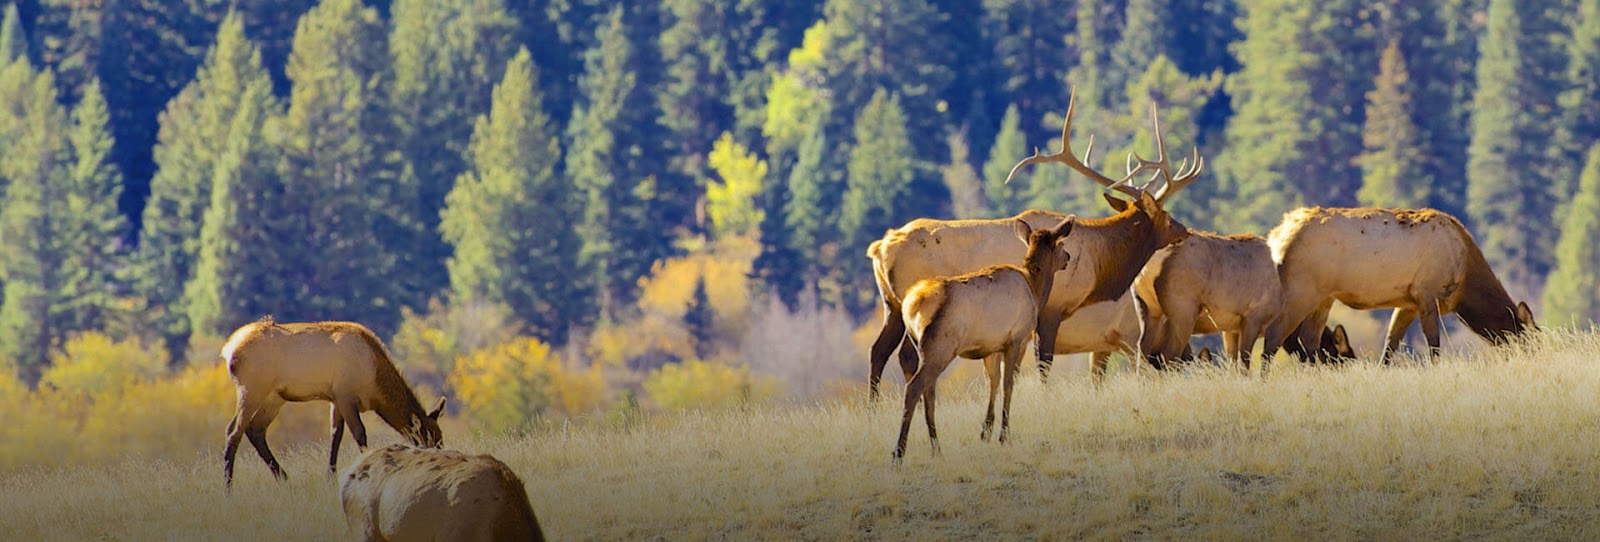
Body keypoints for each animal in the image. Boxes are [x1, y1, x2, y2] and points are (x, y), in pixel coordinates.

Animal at [221, 317, 446, 489]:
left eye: (440, 438)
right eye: (428, 438)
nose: (439, 464)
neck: (374, 380)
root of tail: (228, 349)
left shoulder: (336, 400)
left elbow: (335, 436)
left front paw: (330, 478)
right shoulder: (345, 395)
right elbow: (359, 433)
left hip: (274, 397)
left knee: (255, 429)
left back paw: (284, 478)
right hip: (252, 389)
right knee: (234, 431)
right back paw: (228, 488)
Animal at [867, 87, 1198, 399]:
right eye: (1166, 215)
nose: (1185, 231)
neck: (1098, 263)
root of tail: (880, 247)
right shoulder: (1052, 307)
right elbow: (1044, 361)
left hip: (891, 304)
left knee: (878, 351)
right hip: (912, 302)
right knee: (906, 355)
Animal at [893, 217, 1074, 460]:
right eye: (1061, 244)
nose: (1068, 257)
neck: (1035, 291)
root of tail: (913, 304)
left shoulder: (991, 346)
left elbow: (993, 382)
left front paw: (985, 432)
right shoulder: (1017, 338)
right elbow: (1008, 384)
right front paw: (1003, 436)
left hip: (921, 344)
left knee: (928, 393)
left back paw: (937, 448)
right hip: (940, 346)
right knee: (914, 388)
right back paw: (899, 452)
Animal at [1261, 207, 1537, 367]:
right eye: (1534, 341)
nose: (1538, 360)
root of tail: (1278, 235)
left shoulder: (1407, 303)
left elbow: (1390, 346)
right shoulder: (1427, 292)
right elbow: (1433, 343)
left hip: (1323, 296)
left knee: (1309, 339)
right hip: (1301, 289)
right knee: (1274, 334)